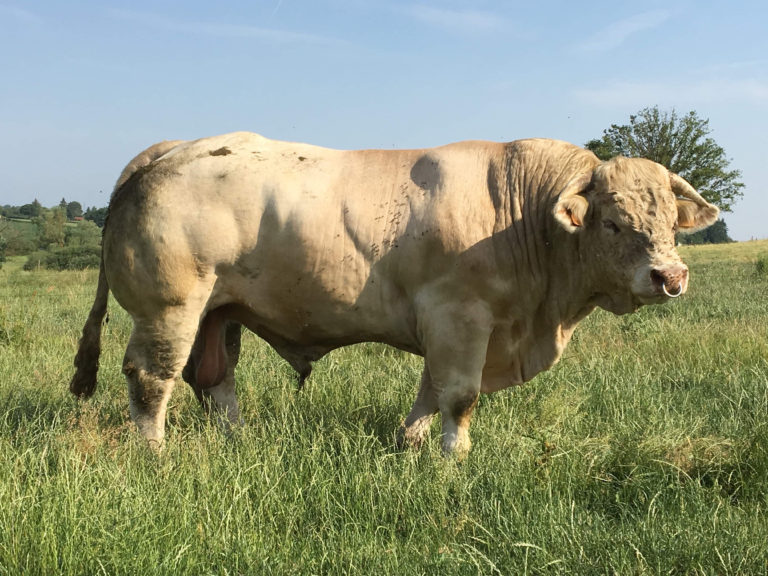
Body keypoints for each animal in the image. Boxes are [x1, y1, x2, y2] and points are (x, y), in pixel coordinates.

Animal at [70, 132, 719, 455]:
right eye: (612, 221)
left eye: (669, 221)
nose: (670, 277)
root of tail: (173, 149)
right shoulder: (460, 315)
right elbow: (458, 394)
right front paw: (454, 457)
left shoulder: (451, 324)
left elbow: (430, 388)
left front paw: (411, 441)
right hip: (172, 306)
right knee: (152, 377)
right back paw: (154, 454)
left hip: (219, 311)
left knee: (213, 379)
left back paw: (237, 440)